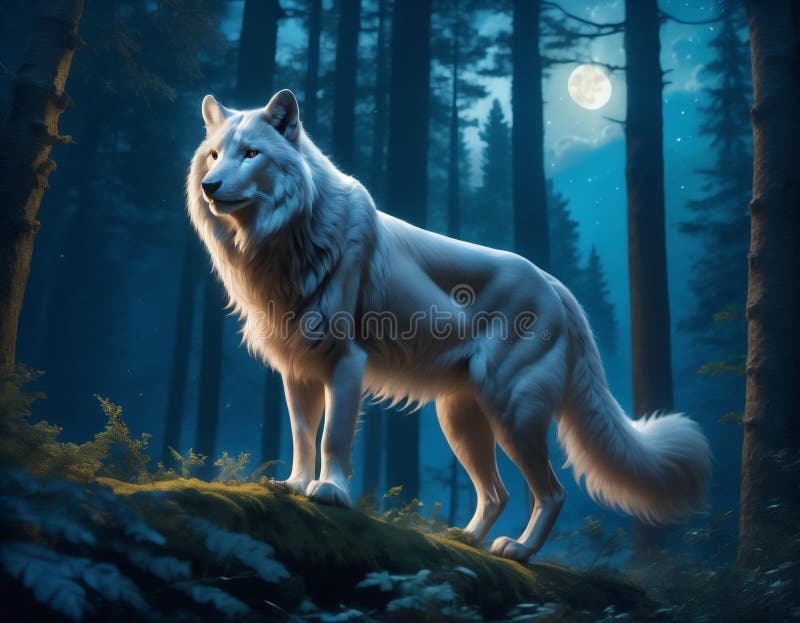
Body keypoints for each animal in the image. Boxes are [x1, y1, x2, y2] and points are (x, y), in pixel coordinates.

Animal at [187, 89, 711, 561]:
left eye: (251, 154)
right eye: (214, 154)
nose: (210, 185)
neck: (278, 243)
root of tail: (554, 284)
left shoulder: (346, 361)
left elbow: (333, 435)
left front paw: (329, 492)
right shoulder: (297, 369)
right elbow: (301, 435)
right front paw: (295, 485)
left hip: (513, 415)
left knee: (552, 491)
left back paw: (518, 550)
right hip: (460, 420)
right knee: (498, 492)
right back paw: (464, 539)